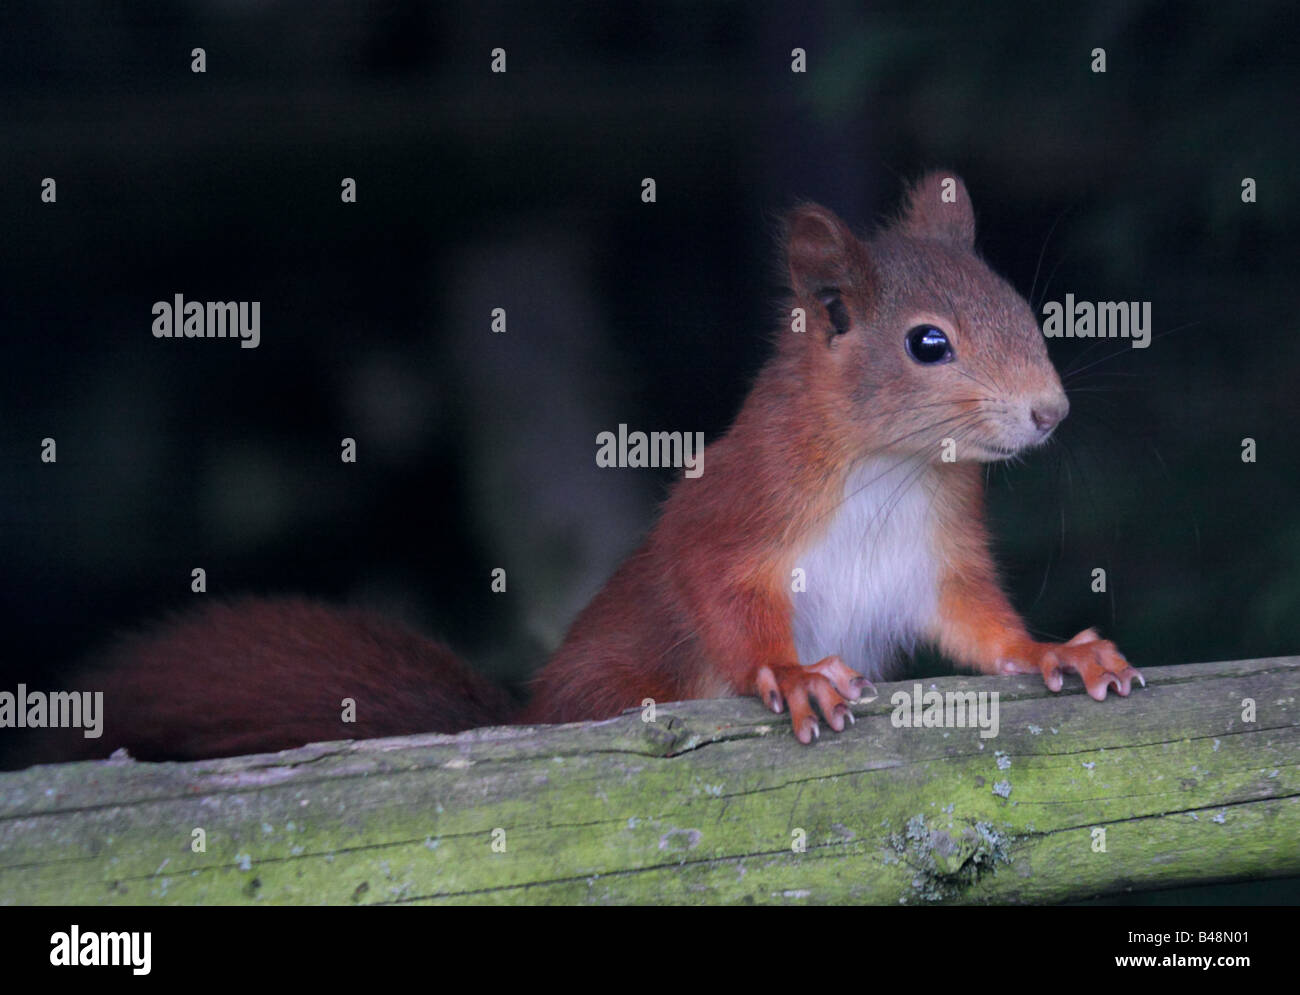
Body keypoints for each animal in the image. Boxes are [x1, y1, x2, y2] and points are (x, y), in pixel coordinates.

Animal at [19, 171, 1142, 765]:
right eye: (927, 343)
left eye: (1019, 303)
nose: (1050, 410)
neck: (891, 467)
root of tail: (524, 720)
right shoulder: (742, 510)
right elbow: (720, 594)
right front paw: (790, 673)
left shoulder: (939, 553)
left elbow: (980, 627)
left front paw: (1058, 649)